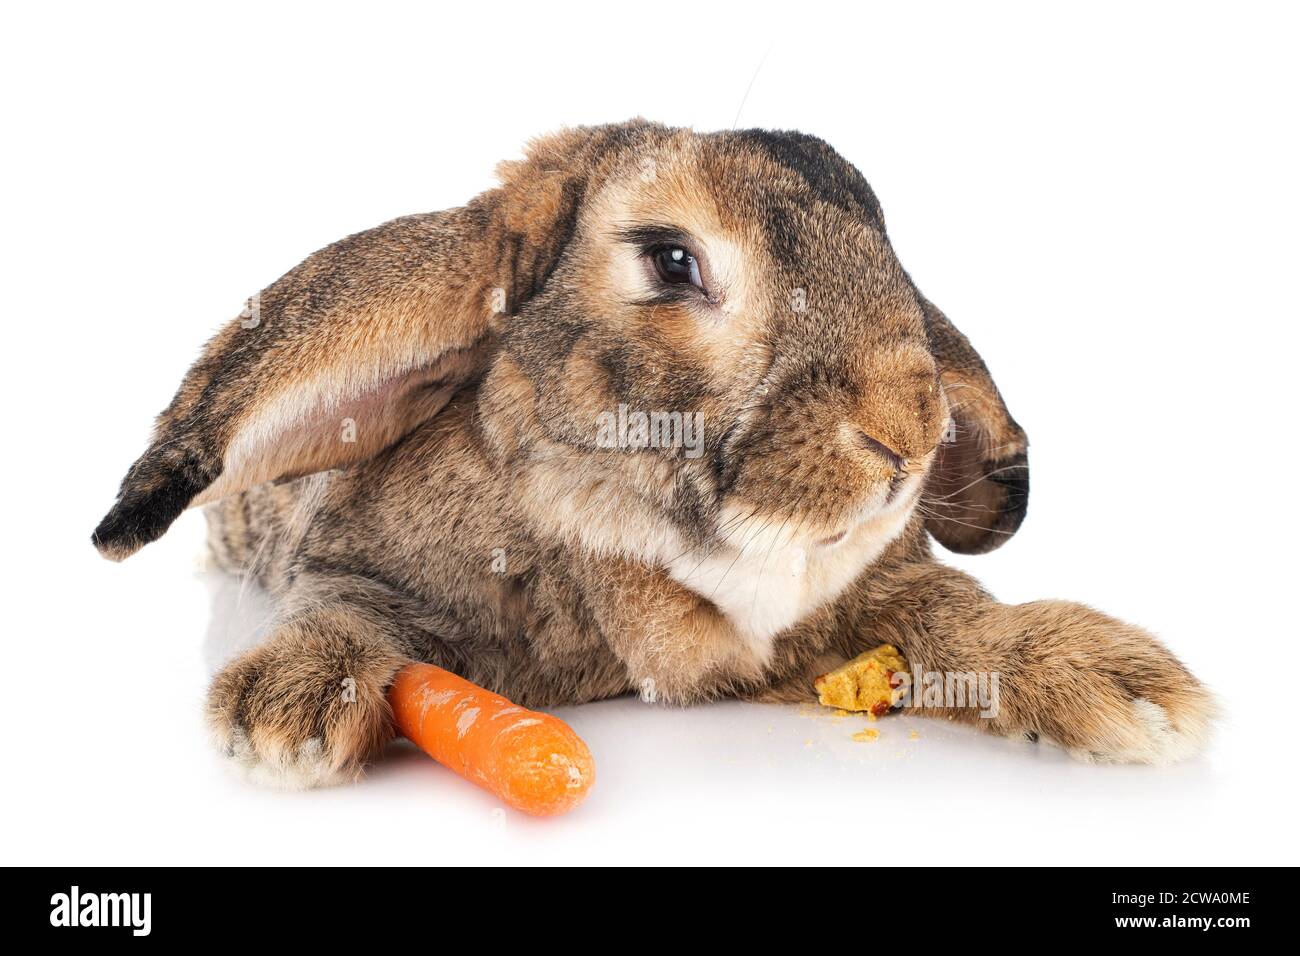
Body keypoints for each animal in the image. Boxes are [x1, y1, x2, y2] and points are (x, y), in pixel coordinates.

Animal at [92, 120, 1216, 789]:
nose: (908, 430)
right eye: (672, 259)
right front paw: (282, 712)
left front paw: (1122, 688)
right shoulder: (351, 565)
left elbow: (952, 609)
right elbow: (345, 607)